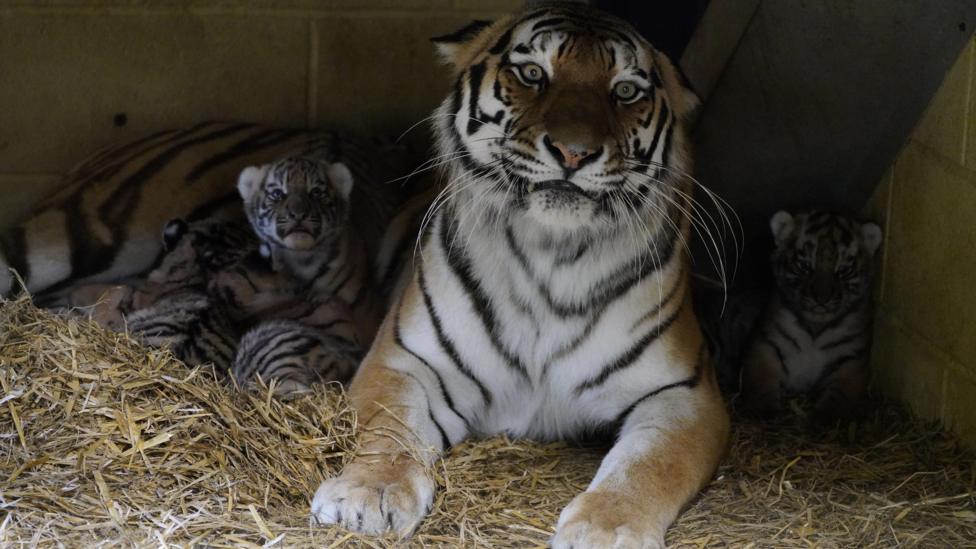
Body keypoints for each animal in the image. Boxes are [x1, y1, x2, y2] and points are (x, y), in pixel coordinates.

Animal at [309, 4, 730, 547]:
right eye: (532, 74)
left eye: (625, 91)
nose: (574, 152)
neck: (552, 254)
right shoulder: (404, 361)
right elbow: (389, 431)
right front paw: (367, 495)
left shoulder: (683, 393)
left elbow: (648, 465)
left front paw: (607, 528)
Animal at [741, 210, 882, 423]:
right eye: (804, 266)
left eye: (843, 270)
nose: (821, 299)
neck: (815, 328)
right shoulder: (766, 341)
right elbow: (761, 374)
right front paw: (764, 410)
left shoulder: (853, 358)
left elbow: (842, 392)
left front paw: (823, 419)